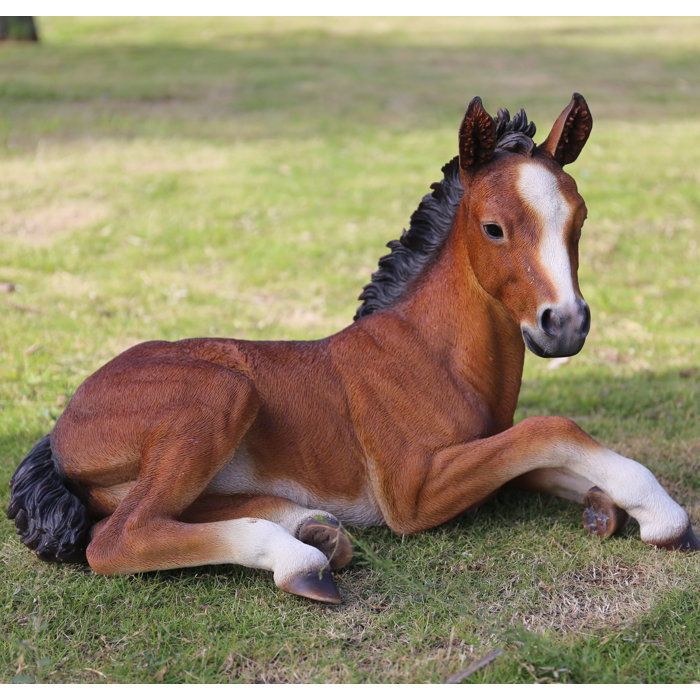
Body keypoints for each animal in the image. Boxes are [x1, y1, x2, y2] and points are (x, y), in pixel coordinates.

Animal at [8, 94, 698, 605]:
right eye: (493, 228)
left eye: (579, 220)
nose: (566, 325)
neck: (431, 354)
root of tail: (60, 426)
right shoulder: (414, 492)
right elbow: (552, 429)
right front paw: (664, 517)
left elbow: (546, 461)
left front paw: (604, 508)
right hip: (221, 394)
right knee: (120, 537)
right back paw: (300, 557)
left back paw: (314, 527)